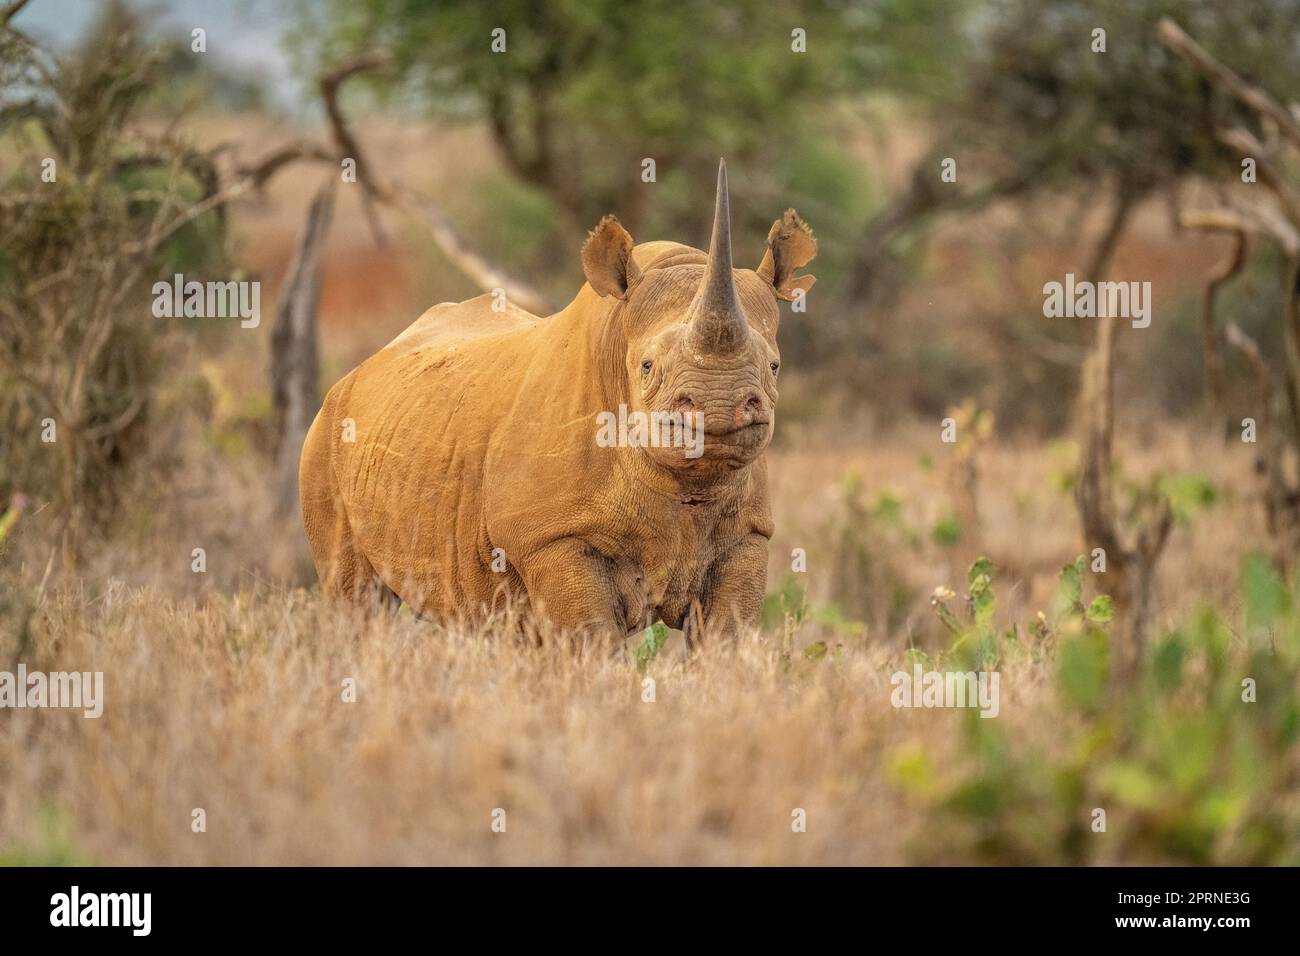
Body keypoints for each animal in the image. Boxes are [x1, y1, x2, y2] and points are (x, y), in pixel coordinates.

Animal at [299, 161, 816, 640]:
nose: (721, 405)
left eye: (774, 366)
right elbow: (593, 639)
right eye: (647, 367)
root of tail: (363, 365)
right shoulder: (552, 538)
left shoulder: (748, 535)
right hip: (325, 433)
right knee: (356, 597)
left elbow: (726, 636)